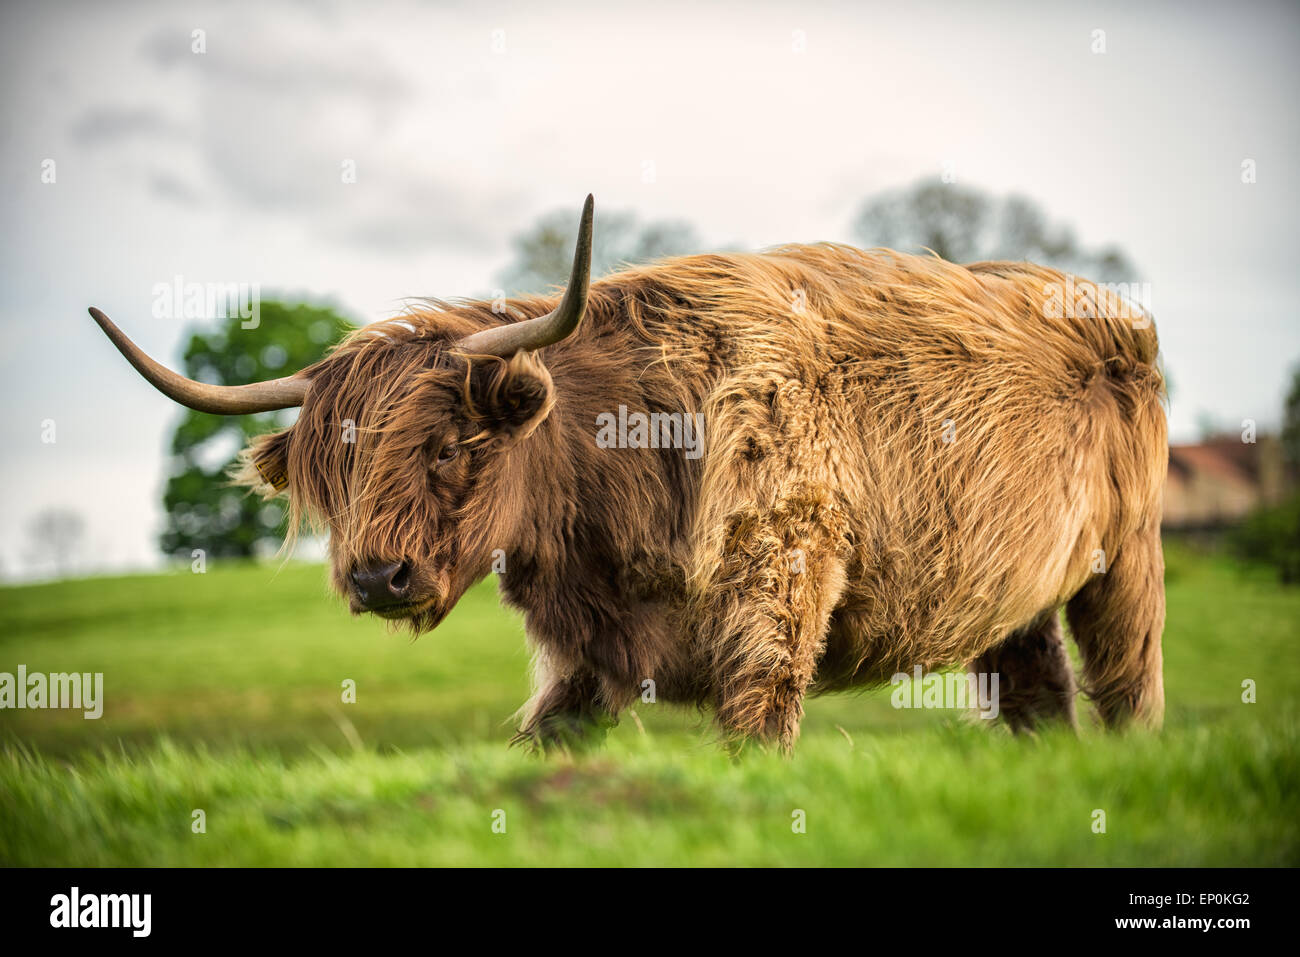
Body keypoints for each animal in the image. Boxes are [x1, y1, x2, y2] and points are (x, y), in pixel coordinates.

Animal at [89, 194, 1167, 752]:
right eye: (335, 477)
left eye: (452, 446)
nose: (376, 577)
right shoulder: (587, 657)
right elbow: (543, 739)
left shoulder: (779, 587)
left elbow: (758, 725)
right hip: (1012, 589)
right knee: (1037, 690)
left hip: (1125, 565)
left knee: (1127, 684)